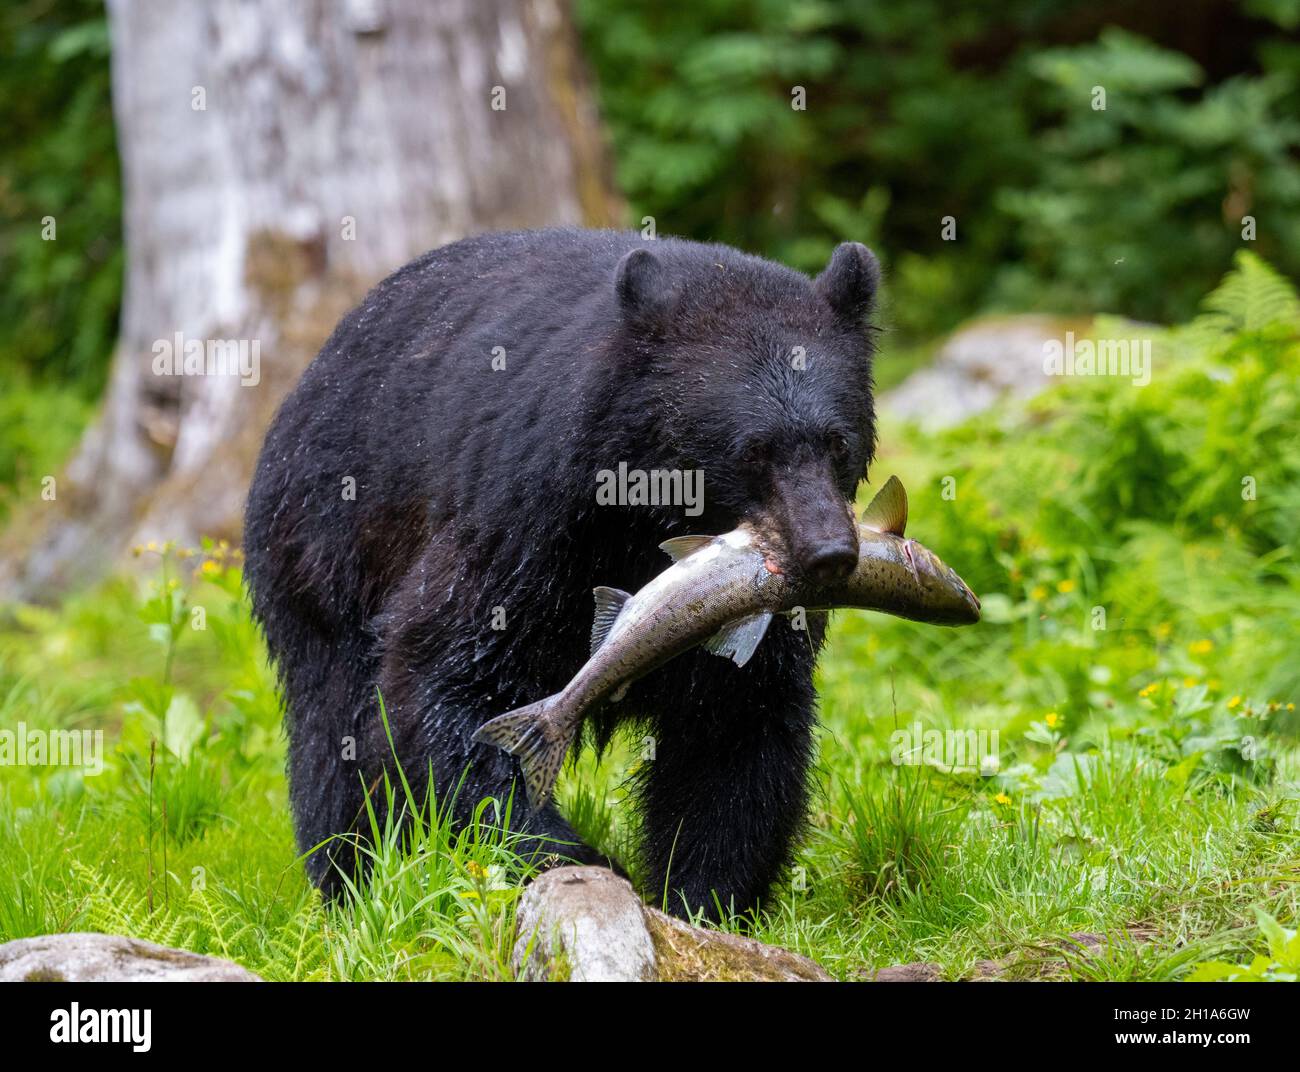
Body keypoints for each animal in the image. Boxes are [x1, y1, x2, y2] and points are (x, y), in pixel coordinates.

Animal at [243, 227, 881, 920]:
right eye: (754, 450)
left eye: (837, 442)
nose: (828, 554)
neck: (643, 511)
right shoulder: (528, 521)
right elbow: (448, 671)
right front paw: (572, 858)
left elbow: (736, 729)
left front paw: (701, 898)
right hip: (323, 545)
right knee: (336, 731)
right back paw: (350, 880)